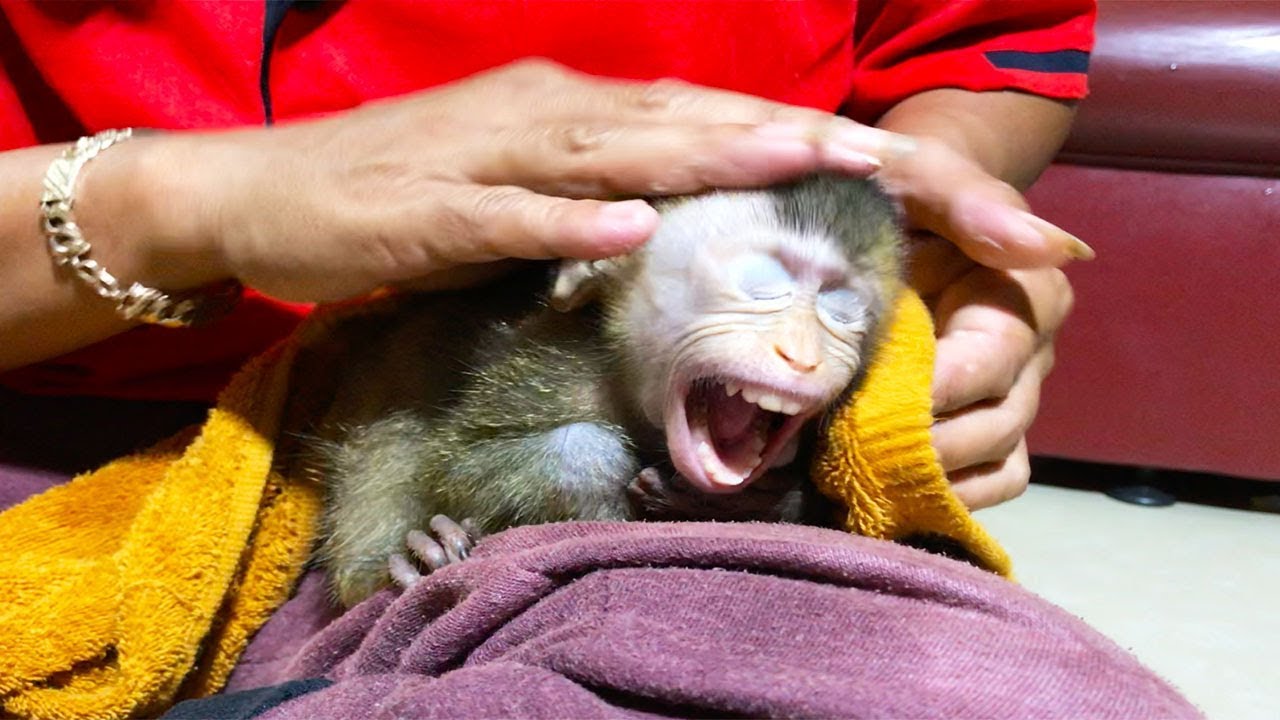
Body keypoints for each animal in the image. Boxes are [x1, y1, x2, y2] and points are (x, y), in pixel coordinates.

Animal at [298, 174, 905, 607]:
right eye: (762, 287)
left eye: (844, 313)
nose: (801, 355)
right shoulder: (550, 361)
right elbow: (458, 460)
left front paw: (748, 502)